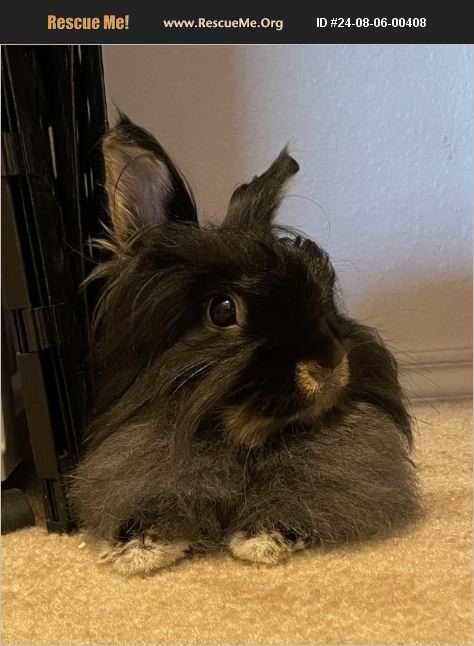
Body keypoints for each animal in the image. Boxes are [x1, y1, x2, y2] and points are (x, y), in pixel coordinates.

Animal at [69, 116, 422, 575]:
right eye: (222, 310)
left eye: (324, 295)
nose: (328, 365)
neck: (237, 437)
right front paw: (138, 549)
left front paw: (262, 539)